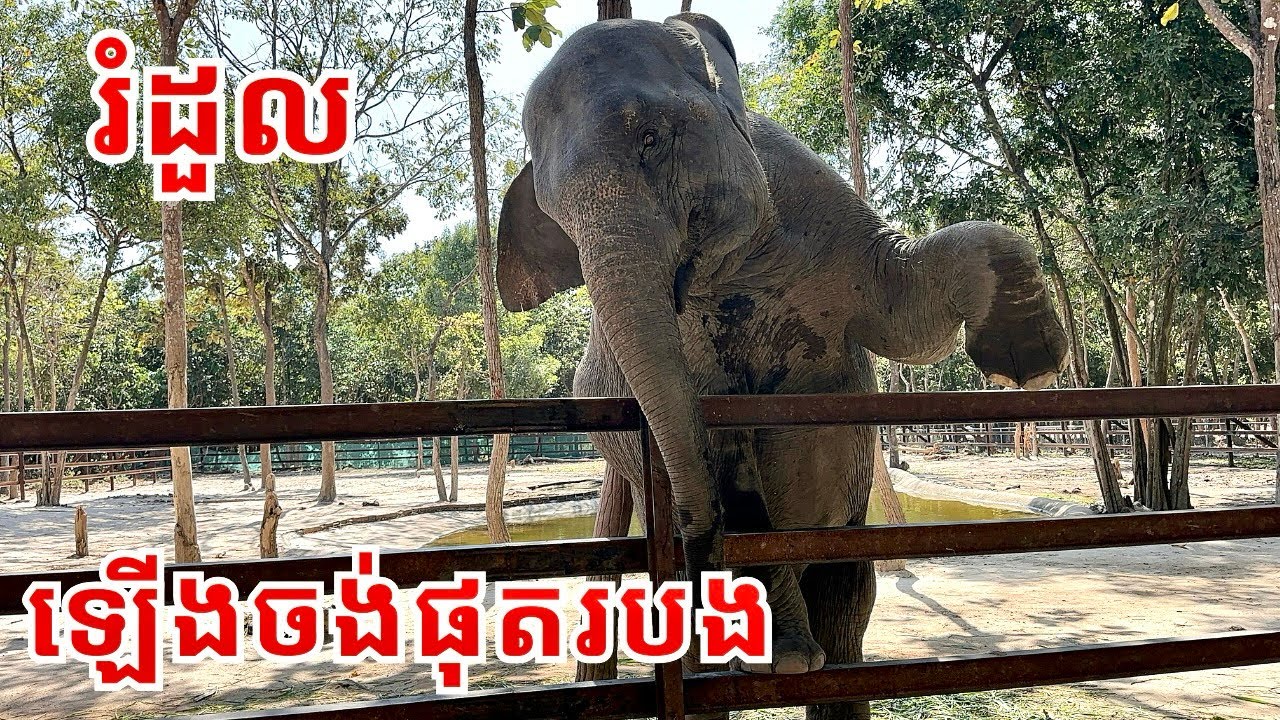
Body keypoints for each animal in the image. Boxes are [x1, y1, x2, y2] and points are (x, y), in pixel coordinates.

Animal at [496, 13, 1068, 719]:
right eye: (556, 217)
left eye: (651, 139)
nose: (701, 554)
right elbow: (692, 425)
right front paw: (777, 644)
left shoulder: (813, 191)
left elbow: (908, 313)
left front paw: (1030, 370)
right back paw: (781, 655)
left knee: (849, 599)